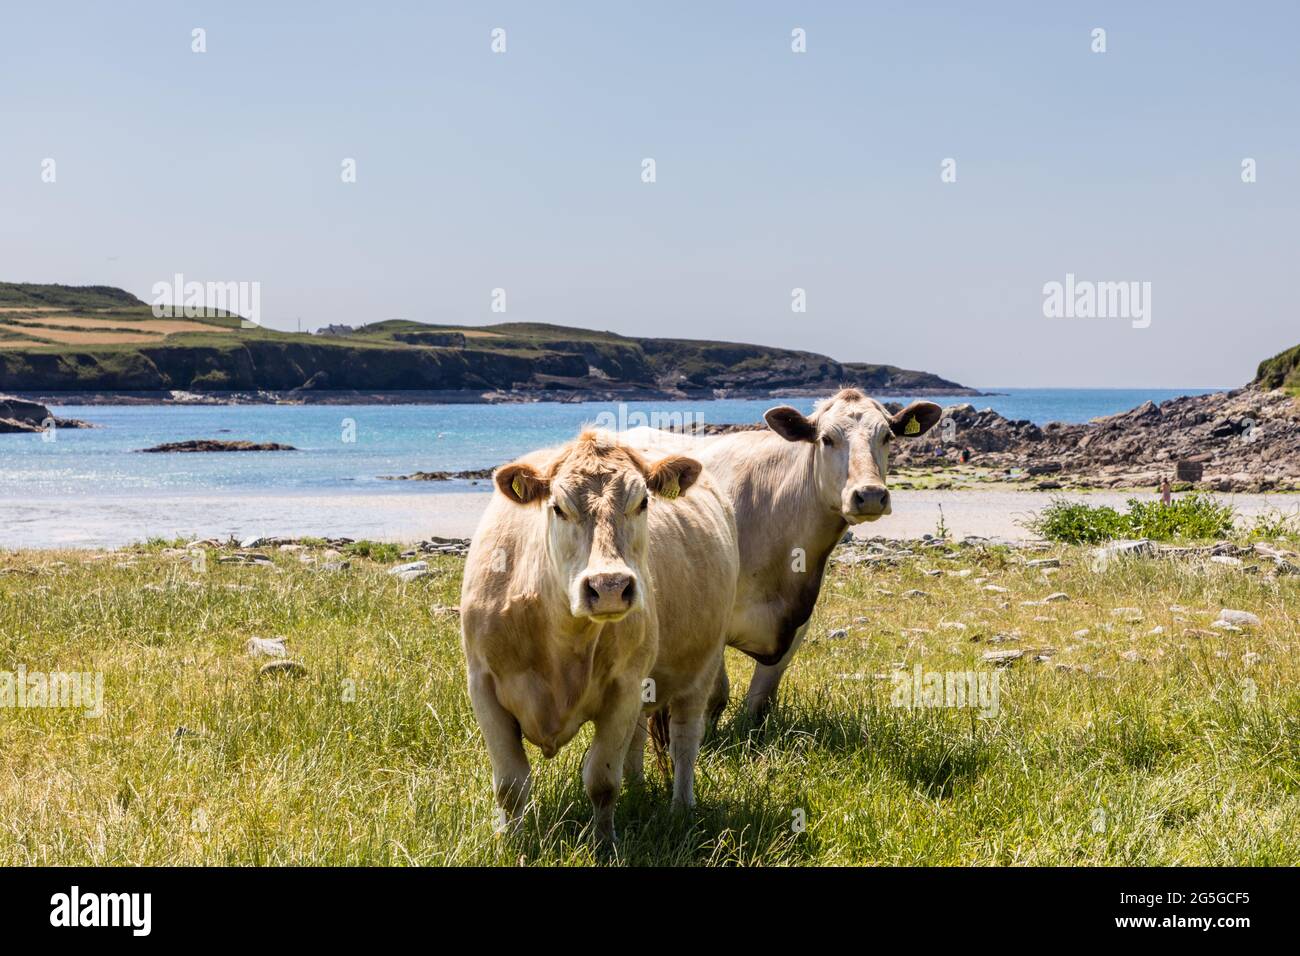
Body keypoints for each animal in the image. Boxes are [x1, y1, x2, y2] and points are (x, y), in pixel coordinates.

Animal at [460, 430, 738, 847]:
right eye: (558, 507)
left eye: (643, 502)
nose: (609, 586)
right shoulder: (483, 685)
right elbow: (510, 785)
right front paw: (513, 843)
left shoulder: (624, 687)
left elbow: (603, 780)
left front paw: (604, 844)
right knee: (638, 740)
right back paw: (639, 789)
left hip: (701, 668)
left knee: (685, 740)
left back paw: (681, 808)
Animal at [624, 389, 942, 721]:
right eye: (827, 438)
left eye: (887, 437)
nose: (869, 495)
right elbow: (716, 696)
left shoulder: (798, 620)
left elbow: (760, 701)